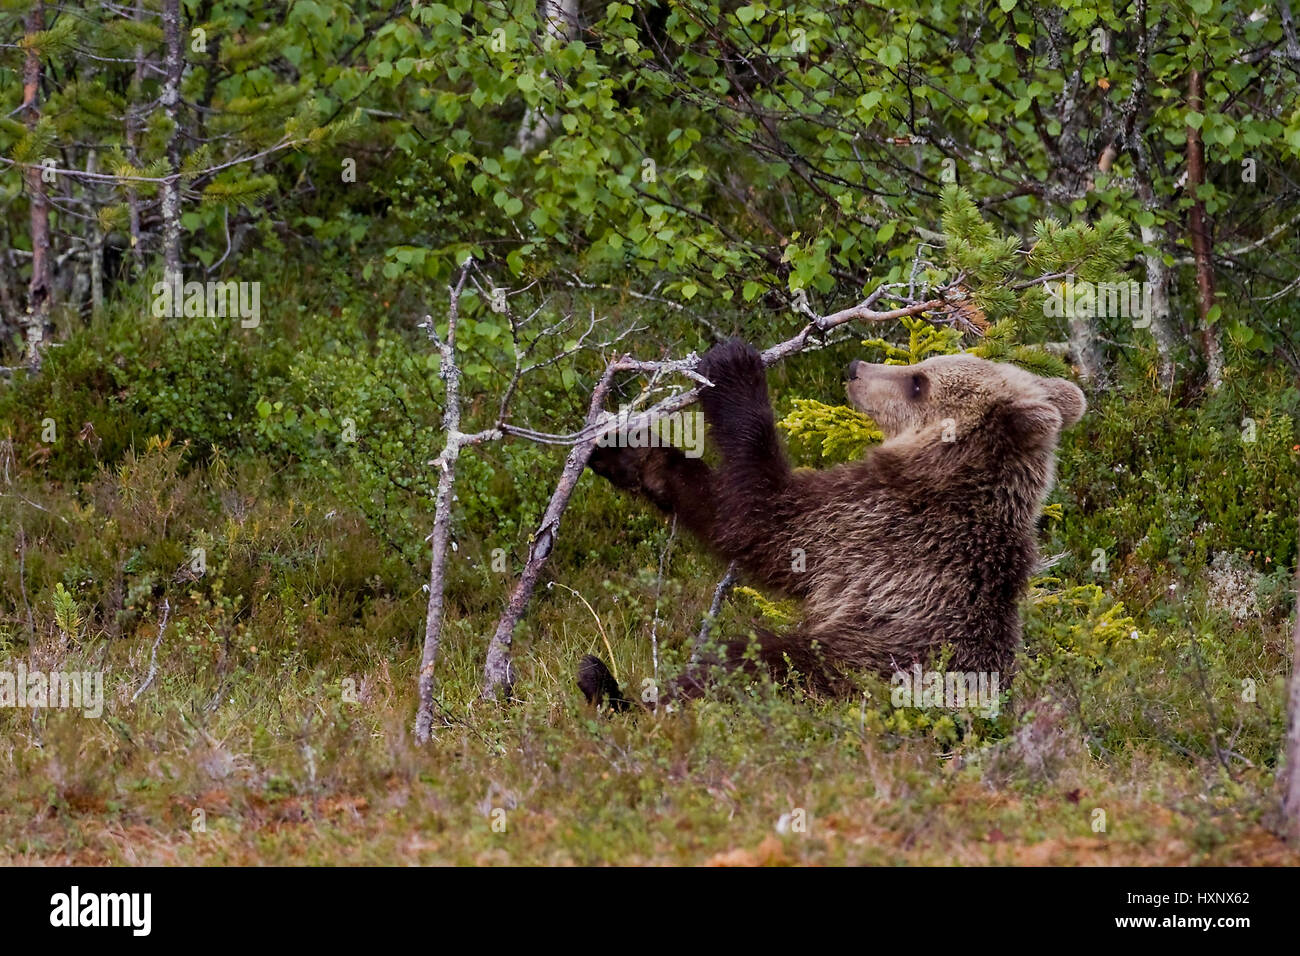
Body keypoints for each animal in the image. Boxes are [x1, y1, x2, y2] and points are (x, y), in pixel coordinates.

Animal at [579, 338, 1086, 709]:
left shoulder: (874, 525)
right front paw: (622, 449)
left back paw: (612, 690)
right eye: (922, 365)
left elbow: (758, 518)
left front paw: (734, 366)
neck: (946, 473)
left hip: (851, 665)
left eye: (918, 382)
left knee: (750, 660)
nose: (855, 367)